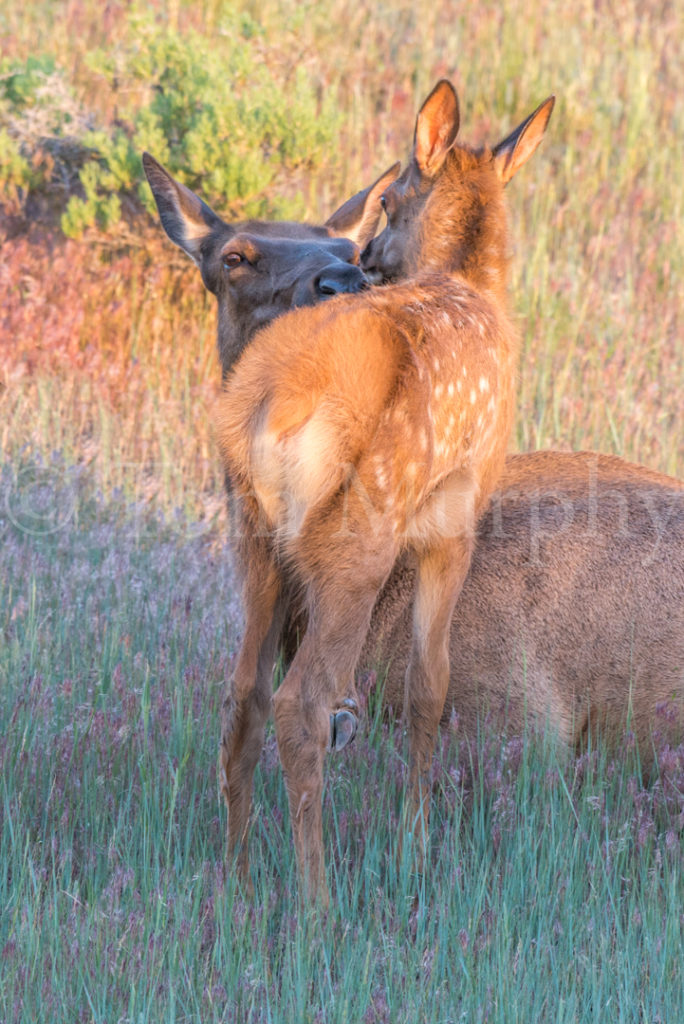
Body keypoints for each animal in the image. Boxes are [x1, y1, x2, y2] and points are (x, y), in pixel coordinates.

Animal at [213, 80, 554, 905]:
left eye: (387, 202)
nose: (362, 263)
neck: (470, 287)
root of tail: (272, 402)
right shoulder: (455, 521)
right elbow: (431, 685)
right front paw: (415, 849)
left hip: (256, 540)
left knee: (245, 695)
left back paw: (237, 883)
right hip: (356, 538)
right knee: (301, 705)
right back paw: (317, 904)